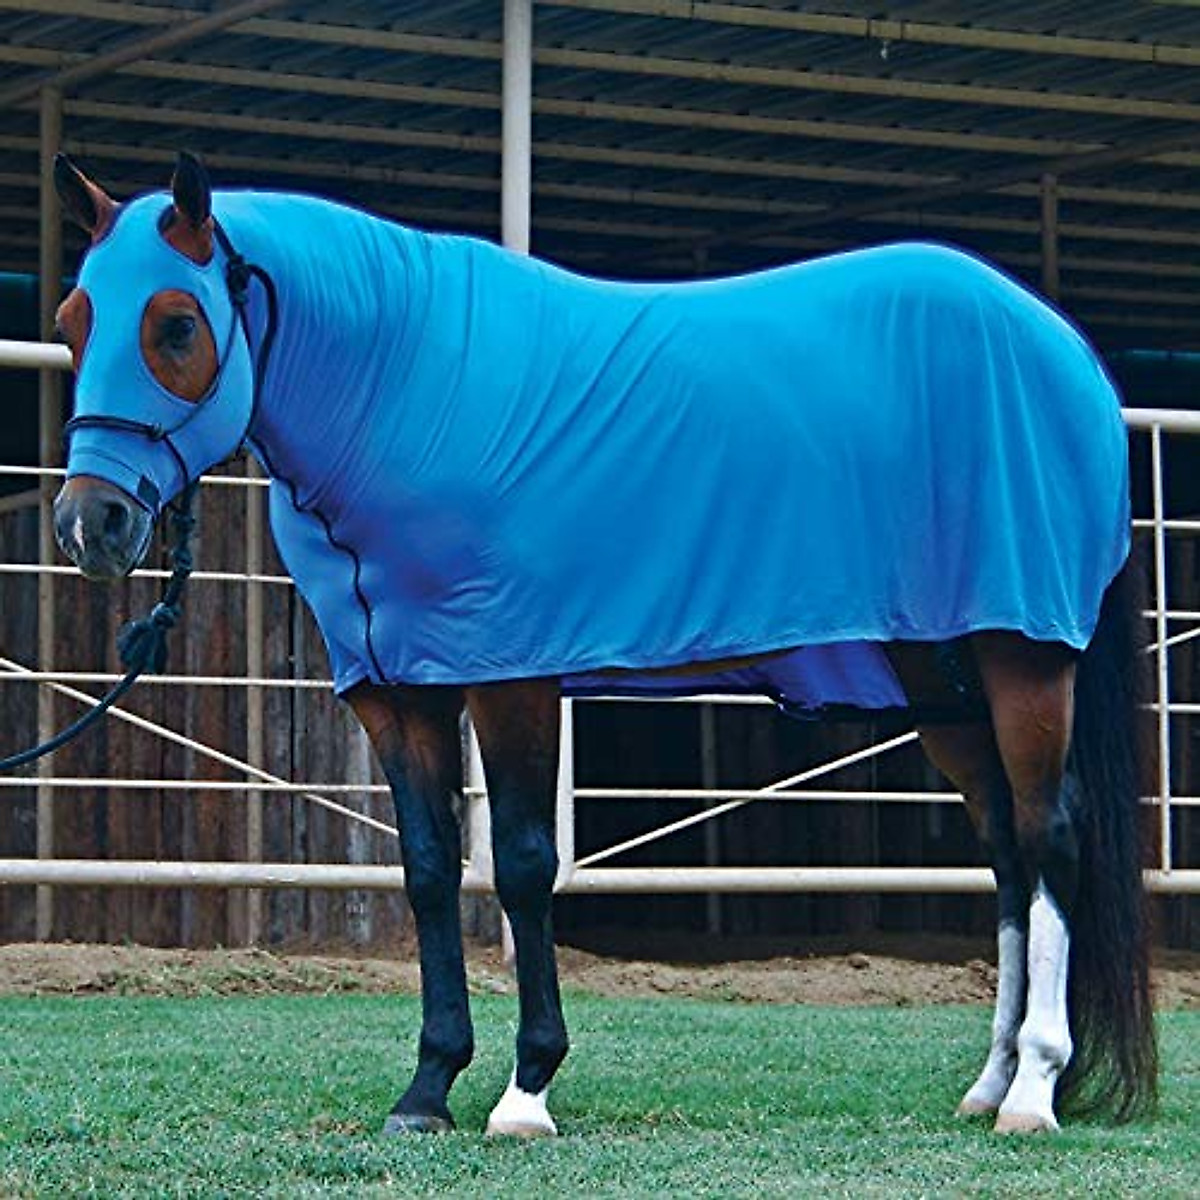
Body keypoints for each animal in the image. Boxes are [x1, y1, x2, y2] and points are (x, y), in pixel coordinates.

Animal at [50, 152, 1156, 1137]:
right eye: (72, 323)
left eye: (176, 323)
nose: (90, 524)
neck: (408, 389)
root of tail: (1065, 353)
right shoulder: (397, 693)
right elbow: (428, 871)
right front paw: (427, 1090)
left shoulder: (512, 676)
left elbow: (524, 866)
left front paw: (525, 1091)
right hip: (943, 678)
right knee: (1005, 851)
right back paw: (988, 1082)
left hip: (1023, 662)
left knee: (1050, 837)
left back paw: (1032, 1090)